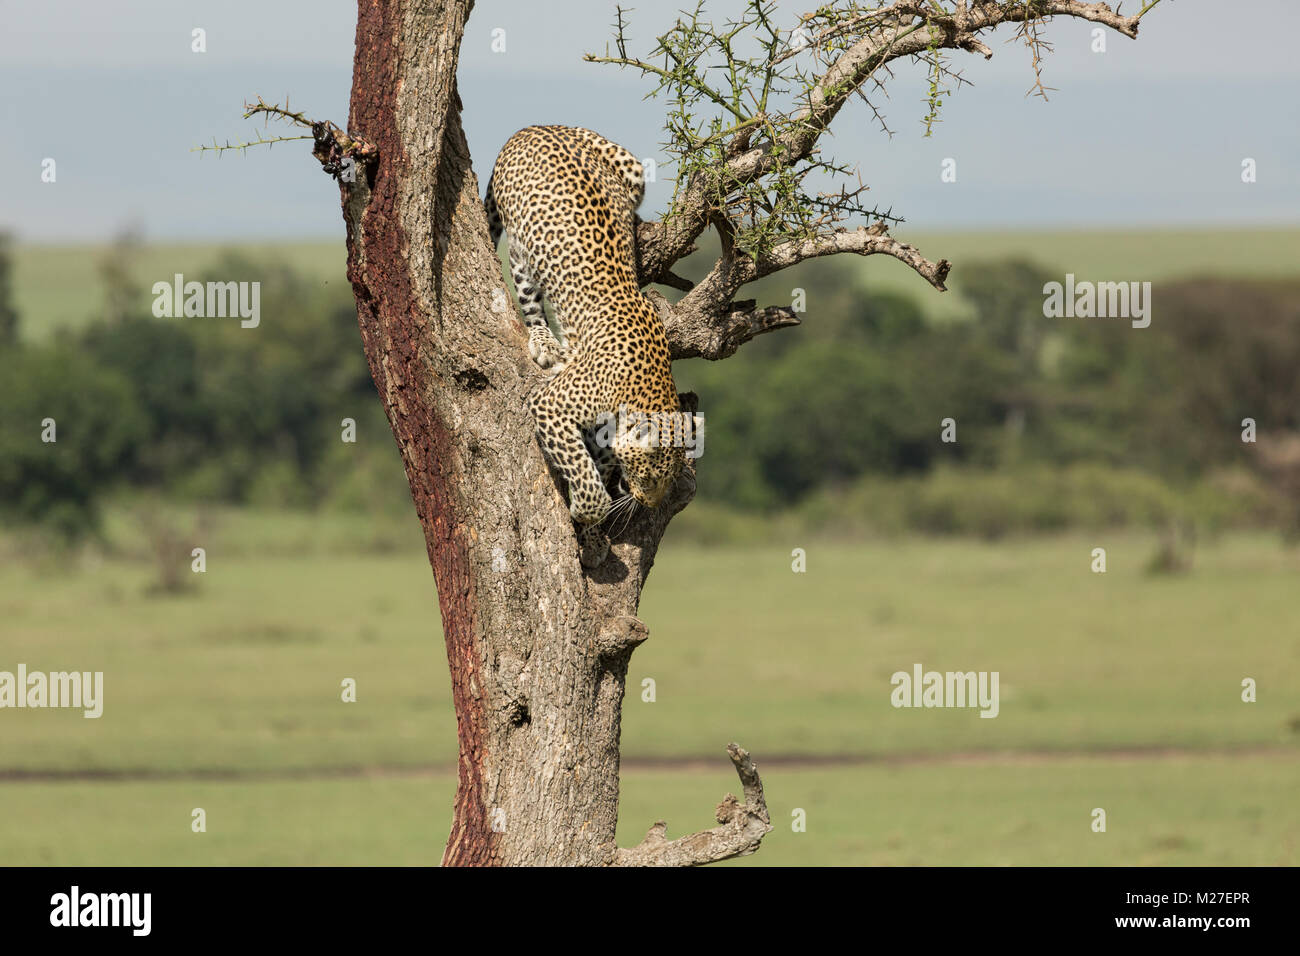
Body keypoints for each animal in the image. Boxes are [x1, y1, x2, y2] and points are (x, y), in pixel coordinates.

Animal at [484, 125, 701, 568]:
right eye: (651, 476)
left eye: (668, 479)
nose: (650, 504)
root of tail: (530, 127)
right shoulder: (551, 405)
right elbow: (588, 483)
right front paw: (586, 512)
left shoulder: (601, 435)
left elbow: (596, 471)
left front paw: (594, 539)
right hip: (521, 249)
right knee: (529, 300)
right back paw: (547, 344)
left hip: (632, 169)